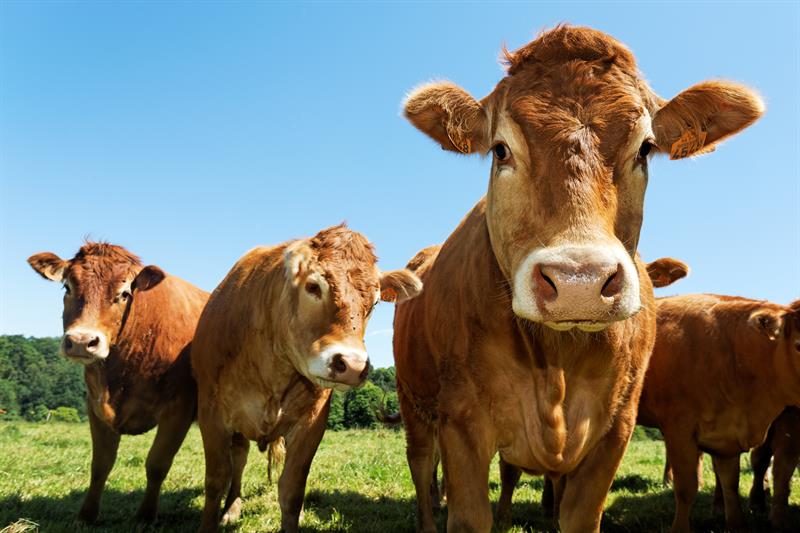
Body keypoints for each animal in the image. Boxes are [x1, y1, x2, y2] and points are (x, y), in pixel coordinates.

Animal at [27, 242, 208, 523]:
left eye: (124, 294)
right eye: (67, 287)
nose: (82, 341)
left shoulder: (178, 409)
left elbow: (157, 464)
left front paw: (145, 516)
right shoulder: (96, 404)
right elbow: (100, 464)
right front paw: (87, 515)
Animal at [190, 224, 422, 533]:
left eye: (374, 302)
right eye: (313, 286)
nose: (352, 365)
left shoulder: (311, 423)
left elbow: (291, 490)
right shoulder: (211, 413)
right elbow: (216, 480)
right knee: (239, 458)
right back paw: (232, 508)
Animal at [395, 24, 763, 533]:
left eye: (645, 148)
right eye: (500, 150)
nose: (578, 281)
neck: (557, 360)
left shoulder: (617, 428)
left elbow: (580, 514)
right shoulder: (460, 423)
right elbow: (468, 513)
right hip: (414, 405)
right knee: (421, 465)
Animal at [636, 295, 800, 532]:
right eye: (799, 345)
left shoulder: (726, 434)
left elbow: (730, 482)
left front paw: (737, 525)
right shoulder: (679, 429)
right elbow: (686, 488)